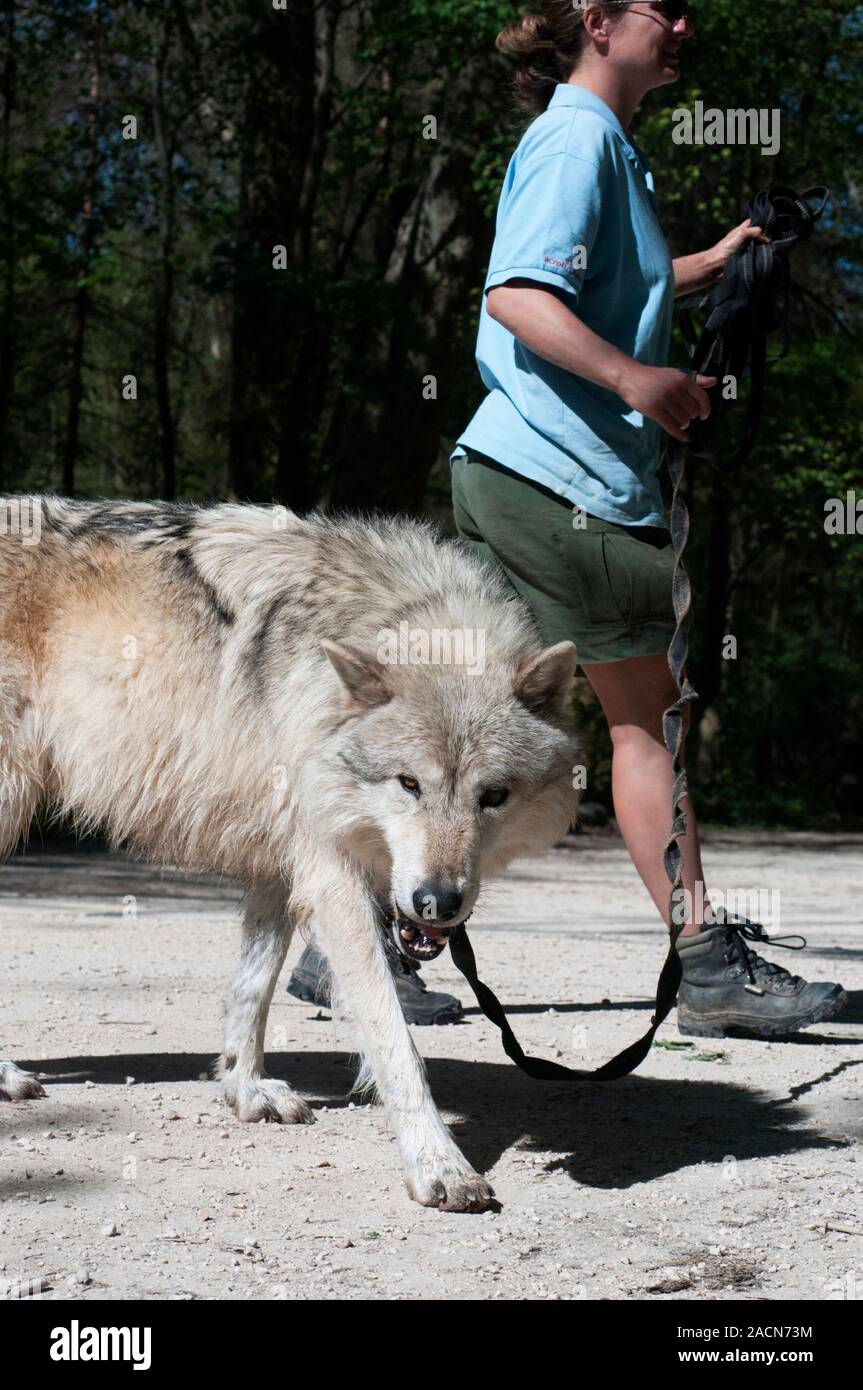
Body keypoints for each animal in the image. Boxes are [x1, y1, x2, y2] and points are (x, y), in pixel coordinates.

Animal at [0, 494, 580, 1211]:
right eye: (408, 784)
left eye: (492, 796)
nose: (436, 902)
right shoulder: (332, 879)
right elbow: (394, 1039)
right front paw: (437, 1162)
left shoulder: (281, 865)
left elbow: (252, 989)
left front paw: (244, 1090)